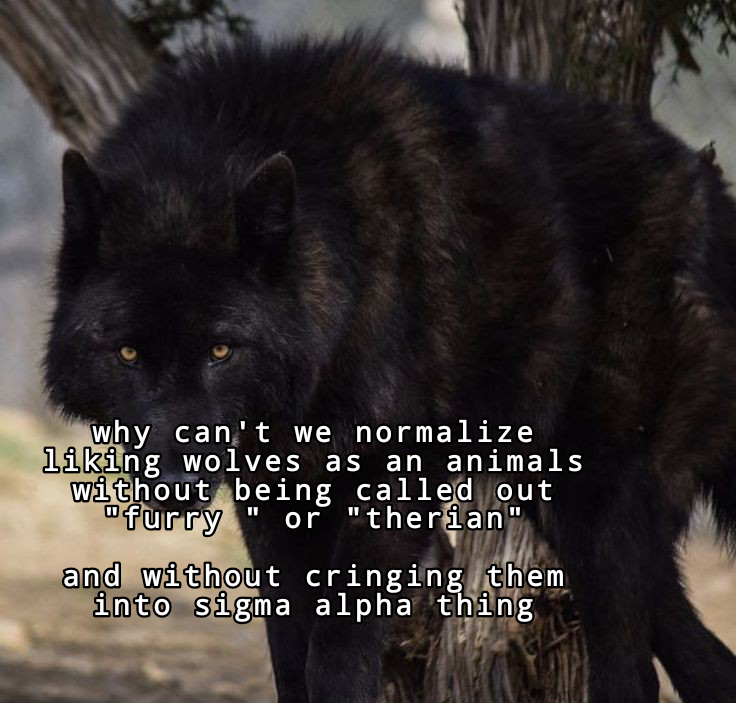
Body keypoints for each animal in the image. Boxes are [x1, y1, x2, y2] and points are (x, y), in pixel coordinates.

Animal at [45, 32, 736, 703]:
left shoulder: (391, 488)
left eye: (221, 351)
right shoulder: (272, 503)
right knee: (707, 662)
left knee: (634, 672)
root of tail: (713, 190)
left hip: (594, 502)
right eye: (127, 354)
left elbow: (335, 661)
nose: (172, 484)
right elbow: (290, 662)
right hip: (564, 503)